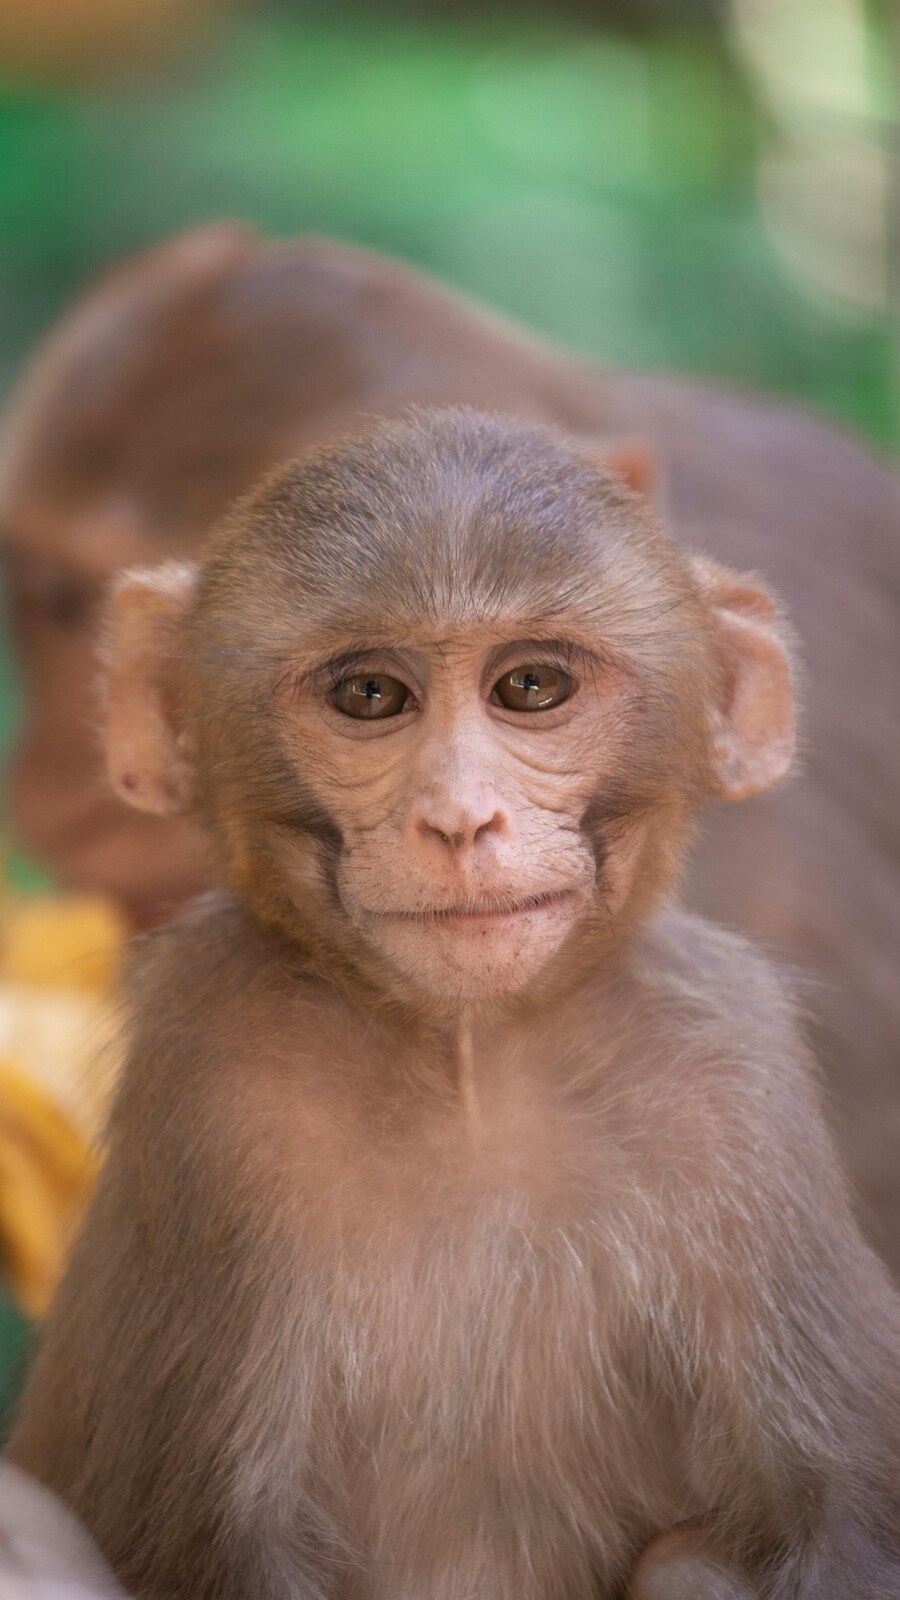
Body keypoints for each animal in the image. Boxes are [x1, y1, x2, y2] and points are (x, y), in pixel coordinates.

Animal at [8, 408, 900, 1600]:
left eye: (530, 689)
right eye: (369, 696)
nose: (460, 820)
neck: (471, 1069)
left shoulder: (732, 1074)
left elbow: (843, 1526)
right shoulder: (215, 1080)